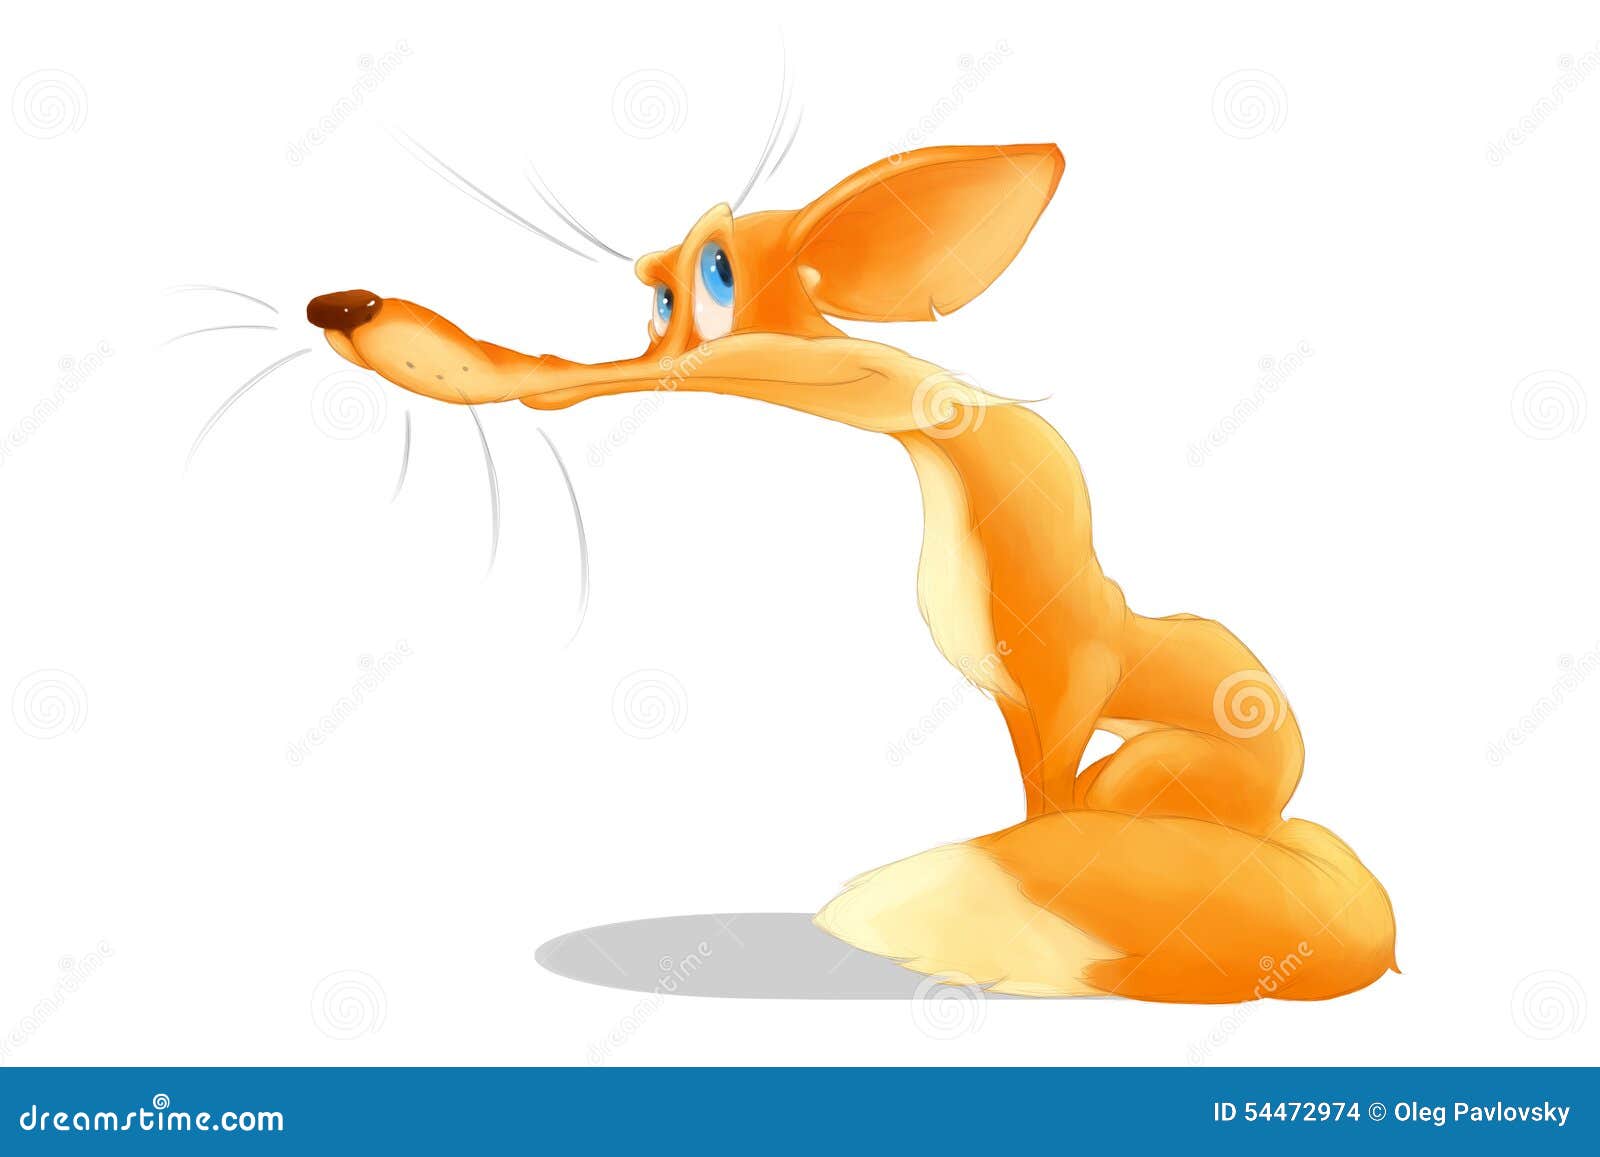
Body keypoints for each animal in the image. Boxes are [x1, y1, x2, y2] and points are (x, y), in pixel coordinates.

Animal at [306, 143, 1398, 1002]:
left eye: (712, 280)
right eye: (654, 302)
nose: (345, 307)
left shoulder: (1063, 686)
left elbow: (1046, 812)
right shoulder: (1019, 698)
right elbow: (1036, 803)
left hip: (1161, 766)